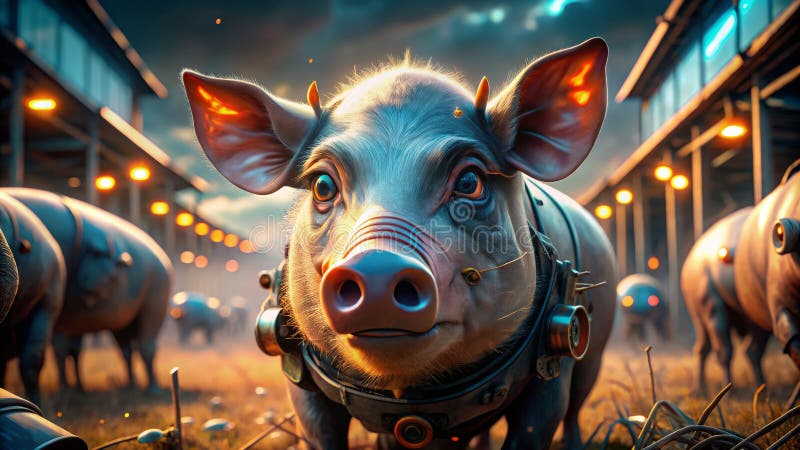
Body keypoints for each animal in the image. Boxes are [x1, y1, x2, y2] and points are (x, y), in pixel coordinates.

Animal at [183, 38, 616, 449]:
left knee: (575, 411)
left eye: (469, 181)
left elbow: (535, 425)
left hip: (593, 354)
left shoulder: (557, 349)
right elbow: (321, 432)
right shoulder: (293, 362)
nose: (377, 266)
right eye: (322, 185)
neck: (411, 401)